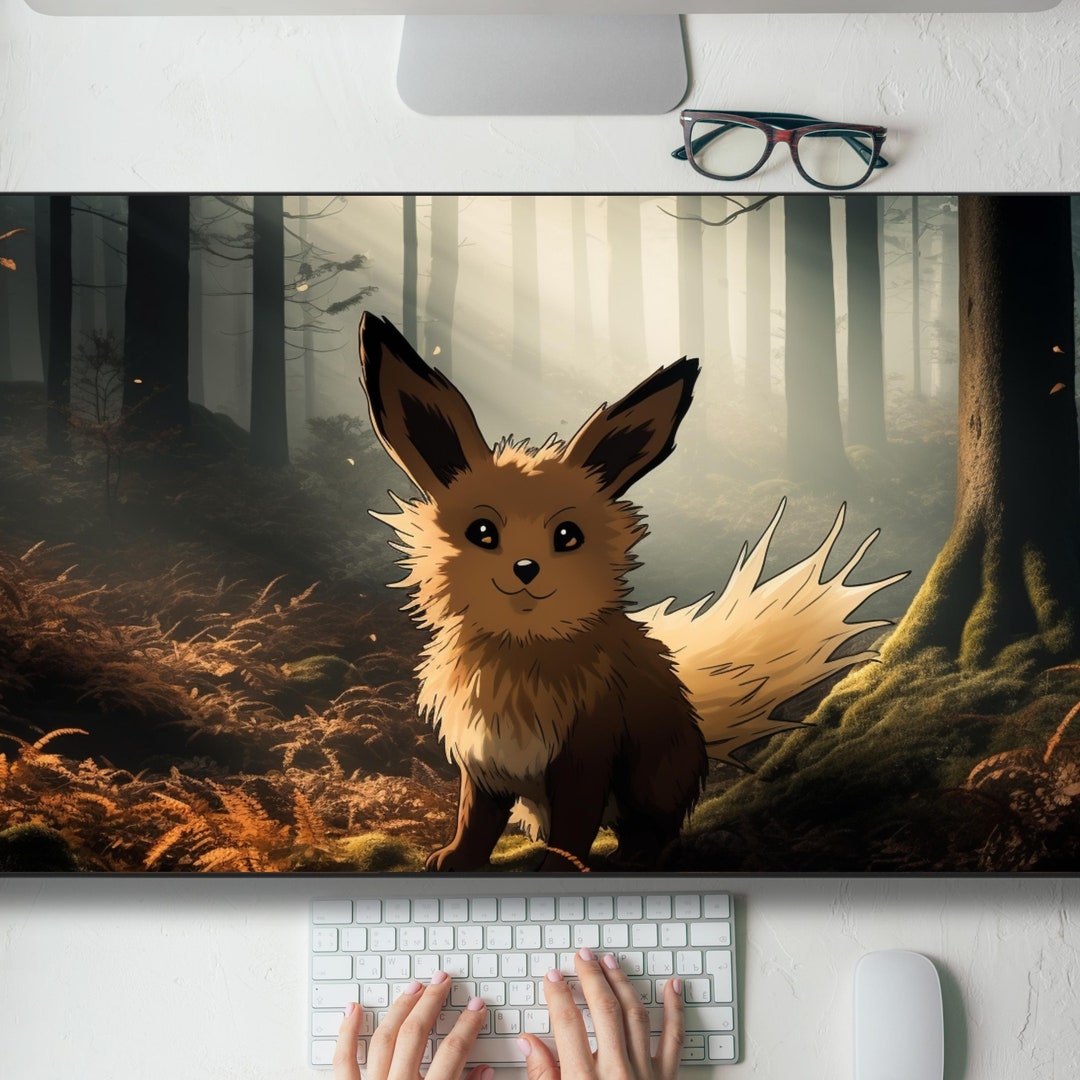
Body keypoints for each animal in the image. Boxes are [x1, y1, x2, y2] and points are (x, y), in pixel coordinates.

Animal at [357, 311, 906, 872]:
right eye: (482, 532)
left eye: (567, 536)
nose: (526, 568)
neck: (522, 655)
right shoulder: (485, 759)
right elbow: (475, 817)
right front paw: (455, 859)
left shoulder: (587, 754)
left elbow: (574, 825)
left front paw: (561, 869)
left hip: (652, 780)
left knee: (656, 829)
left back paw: (637, 856)